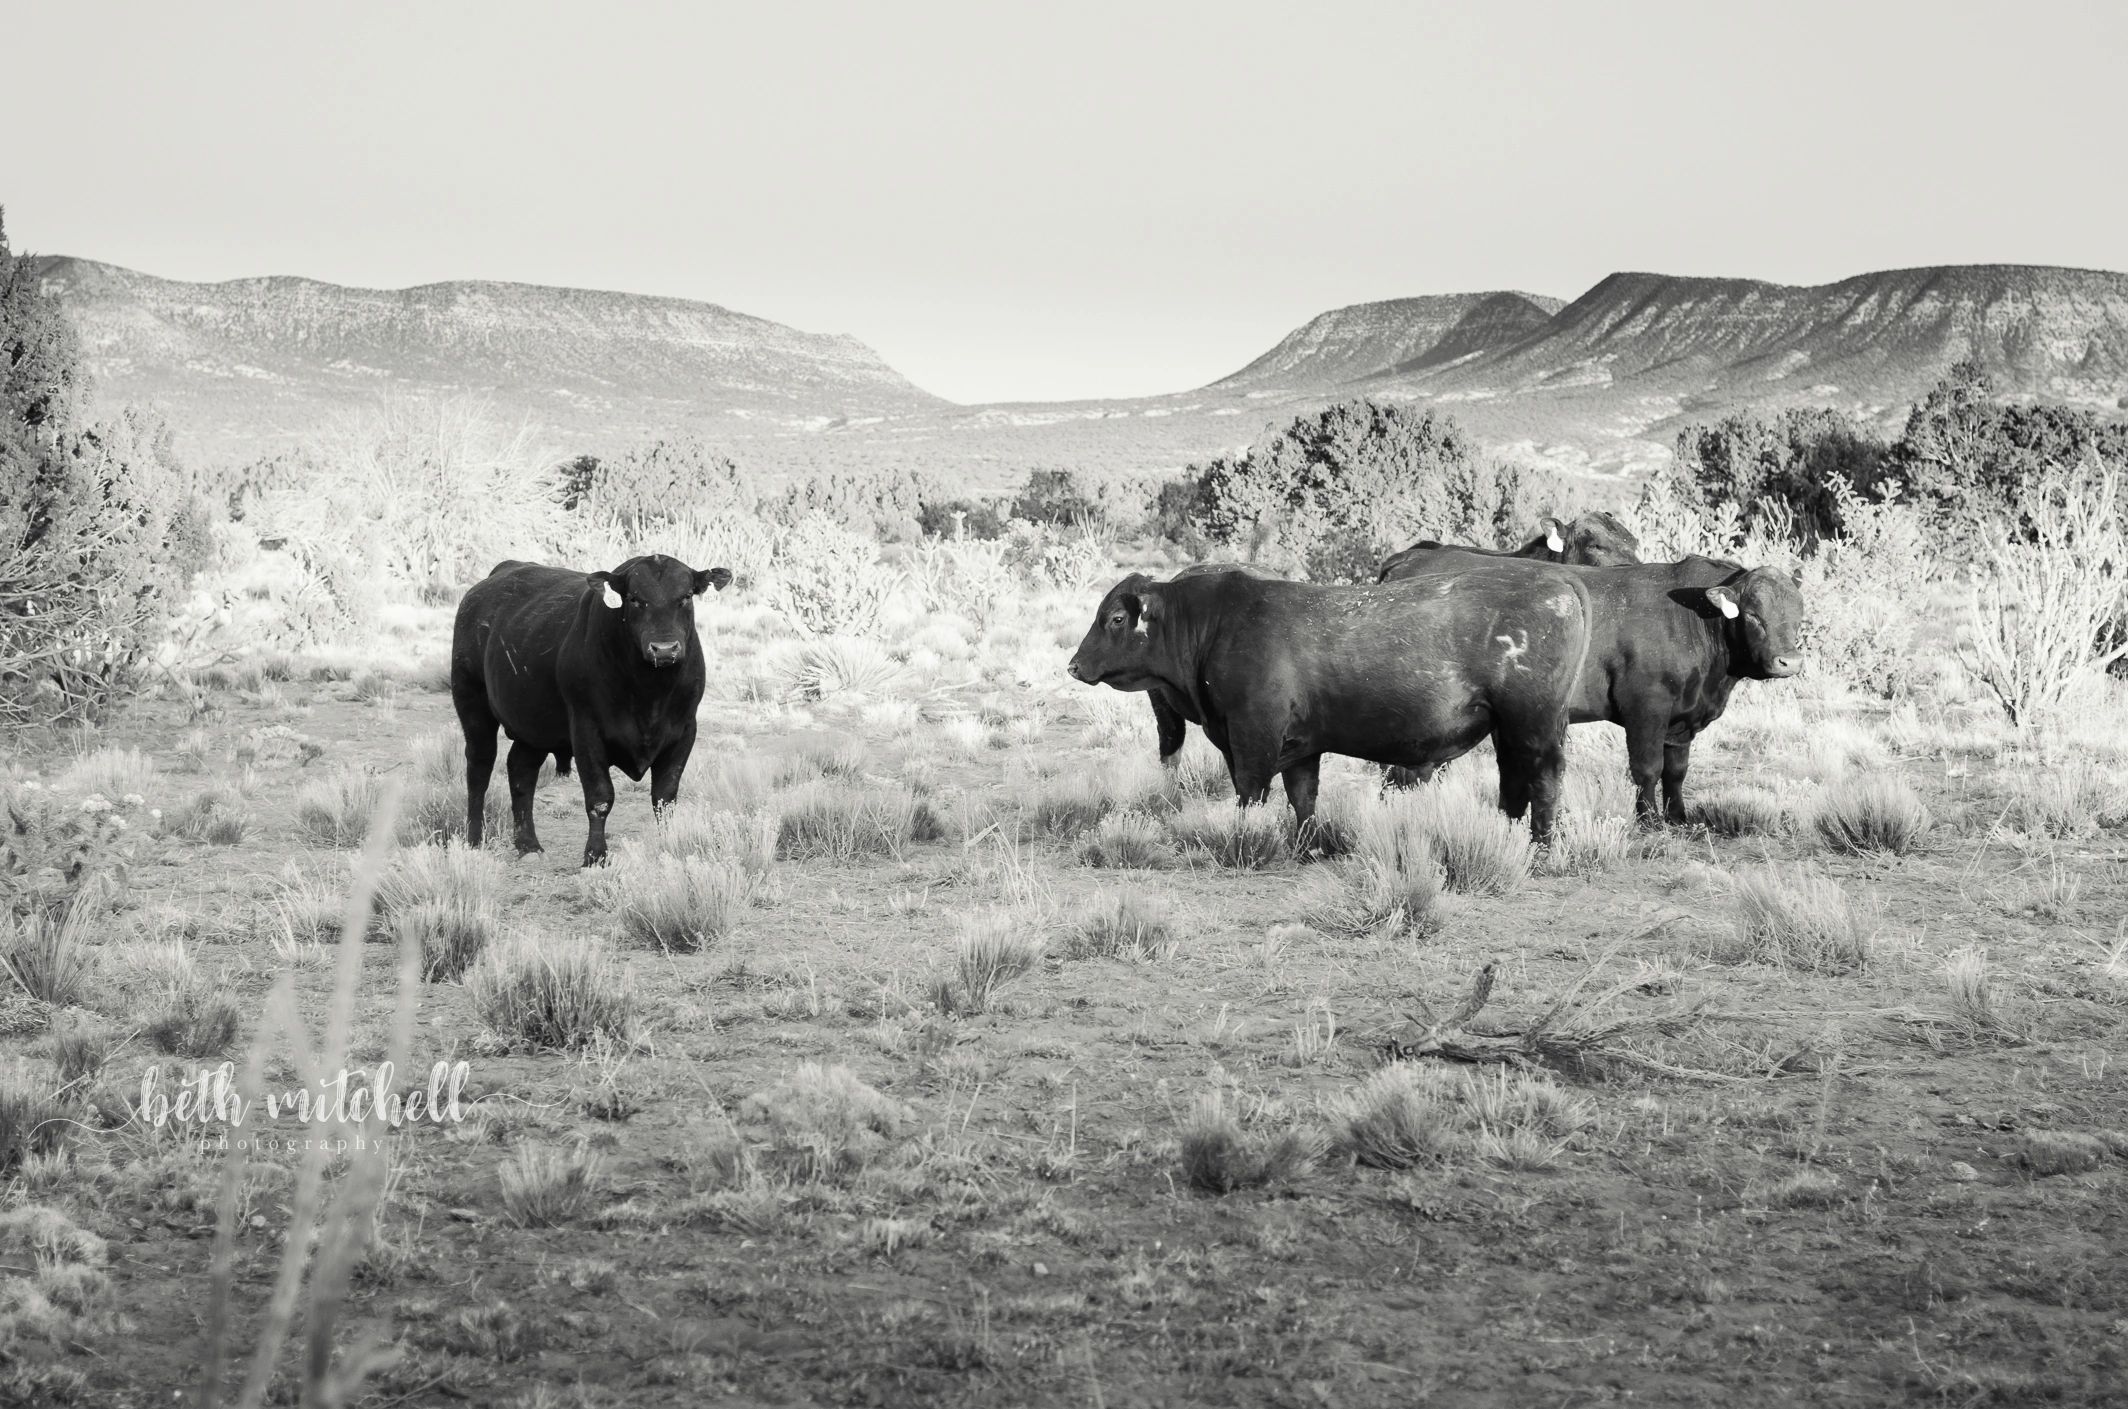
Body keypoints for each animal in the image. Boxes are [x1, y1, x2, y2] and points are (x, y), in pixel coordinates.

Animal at [450, 553, 732, 866]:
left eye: (685, 598)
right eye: (634, 599)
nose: (664, 648)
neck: (650, 695)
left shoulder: (684, 731)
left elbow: (664, 798)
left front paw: (667, 846)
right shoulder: (586, 729)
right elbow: (600, 797)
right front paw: (595, 856)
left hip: (535, 725)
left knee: (521, 771)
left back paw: (528, 845)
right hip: (472, 702)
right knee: (479, 769)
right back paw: (475, 839)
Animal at [1067, 565, 1593, 844]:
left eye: (1116, 618)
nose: (1073, 665)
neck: (1216, 624)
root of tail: (1556, 582)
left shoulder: (1251, 740)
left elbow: (1250, 794)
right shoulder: (1302, 748)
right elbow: (1304, 799)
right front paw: (1307, 846)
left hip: (1534, 726)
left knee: (1544, 780)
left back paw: (1541, 845)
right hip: (1509, 730)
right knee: (1513, 783)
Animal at [1378, 551, 1804, 822]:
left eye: (1799, 616)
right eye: (1753, 616)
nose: (1790, 661)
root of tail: (1409, 559)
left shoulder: (1681, 719)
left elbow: (1676, 771)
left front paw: (1680, 816)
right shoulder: (1646, 707)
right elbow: (1647, 768)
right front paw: (1649, 820)